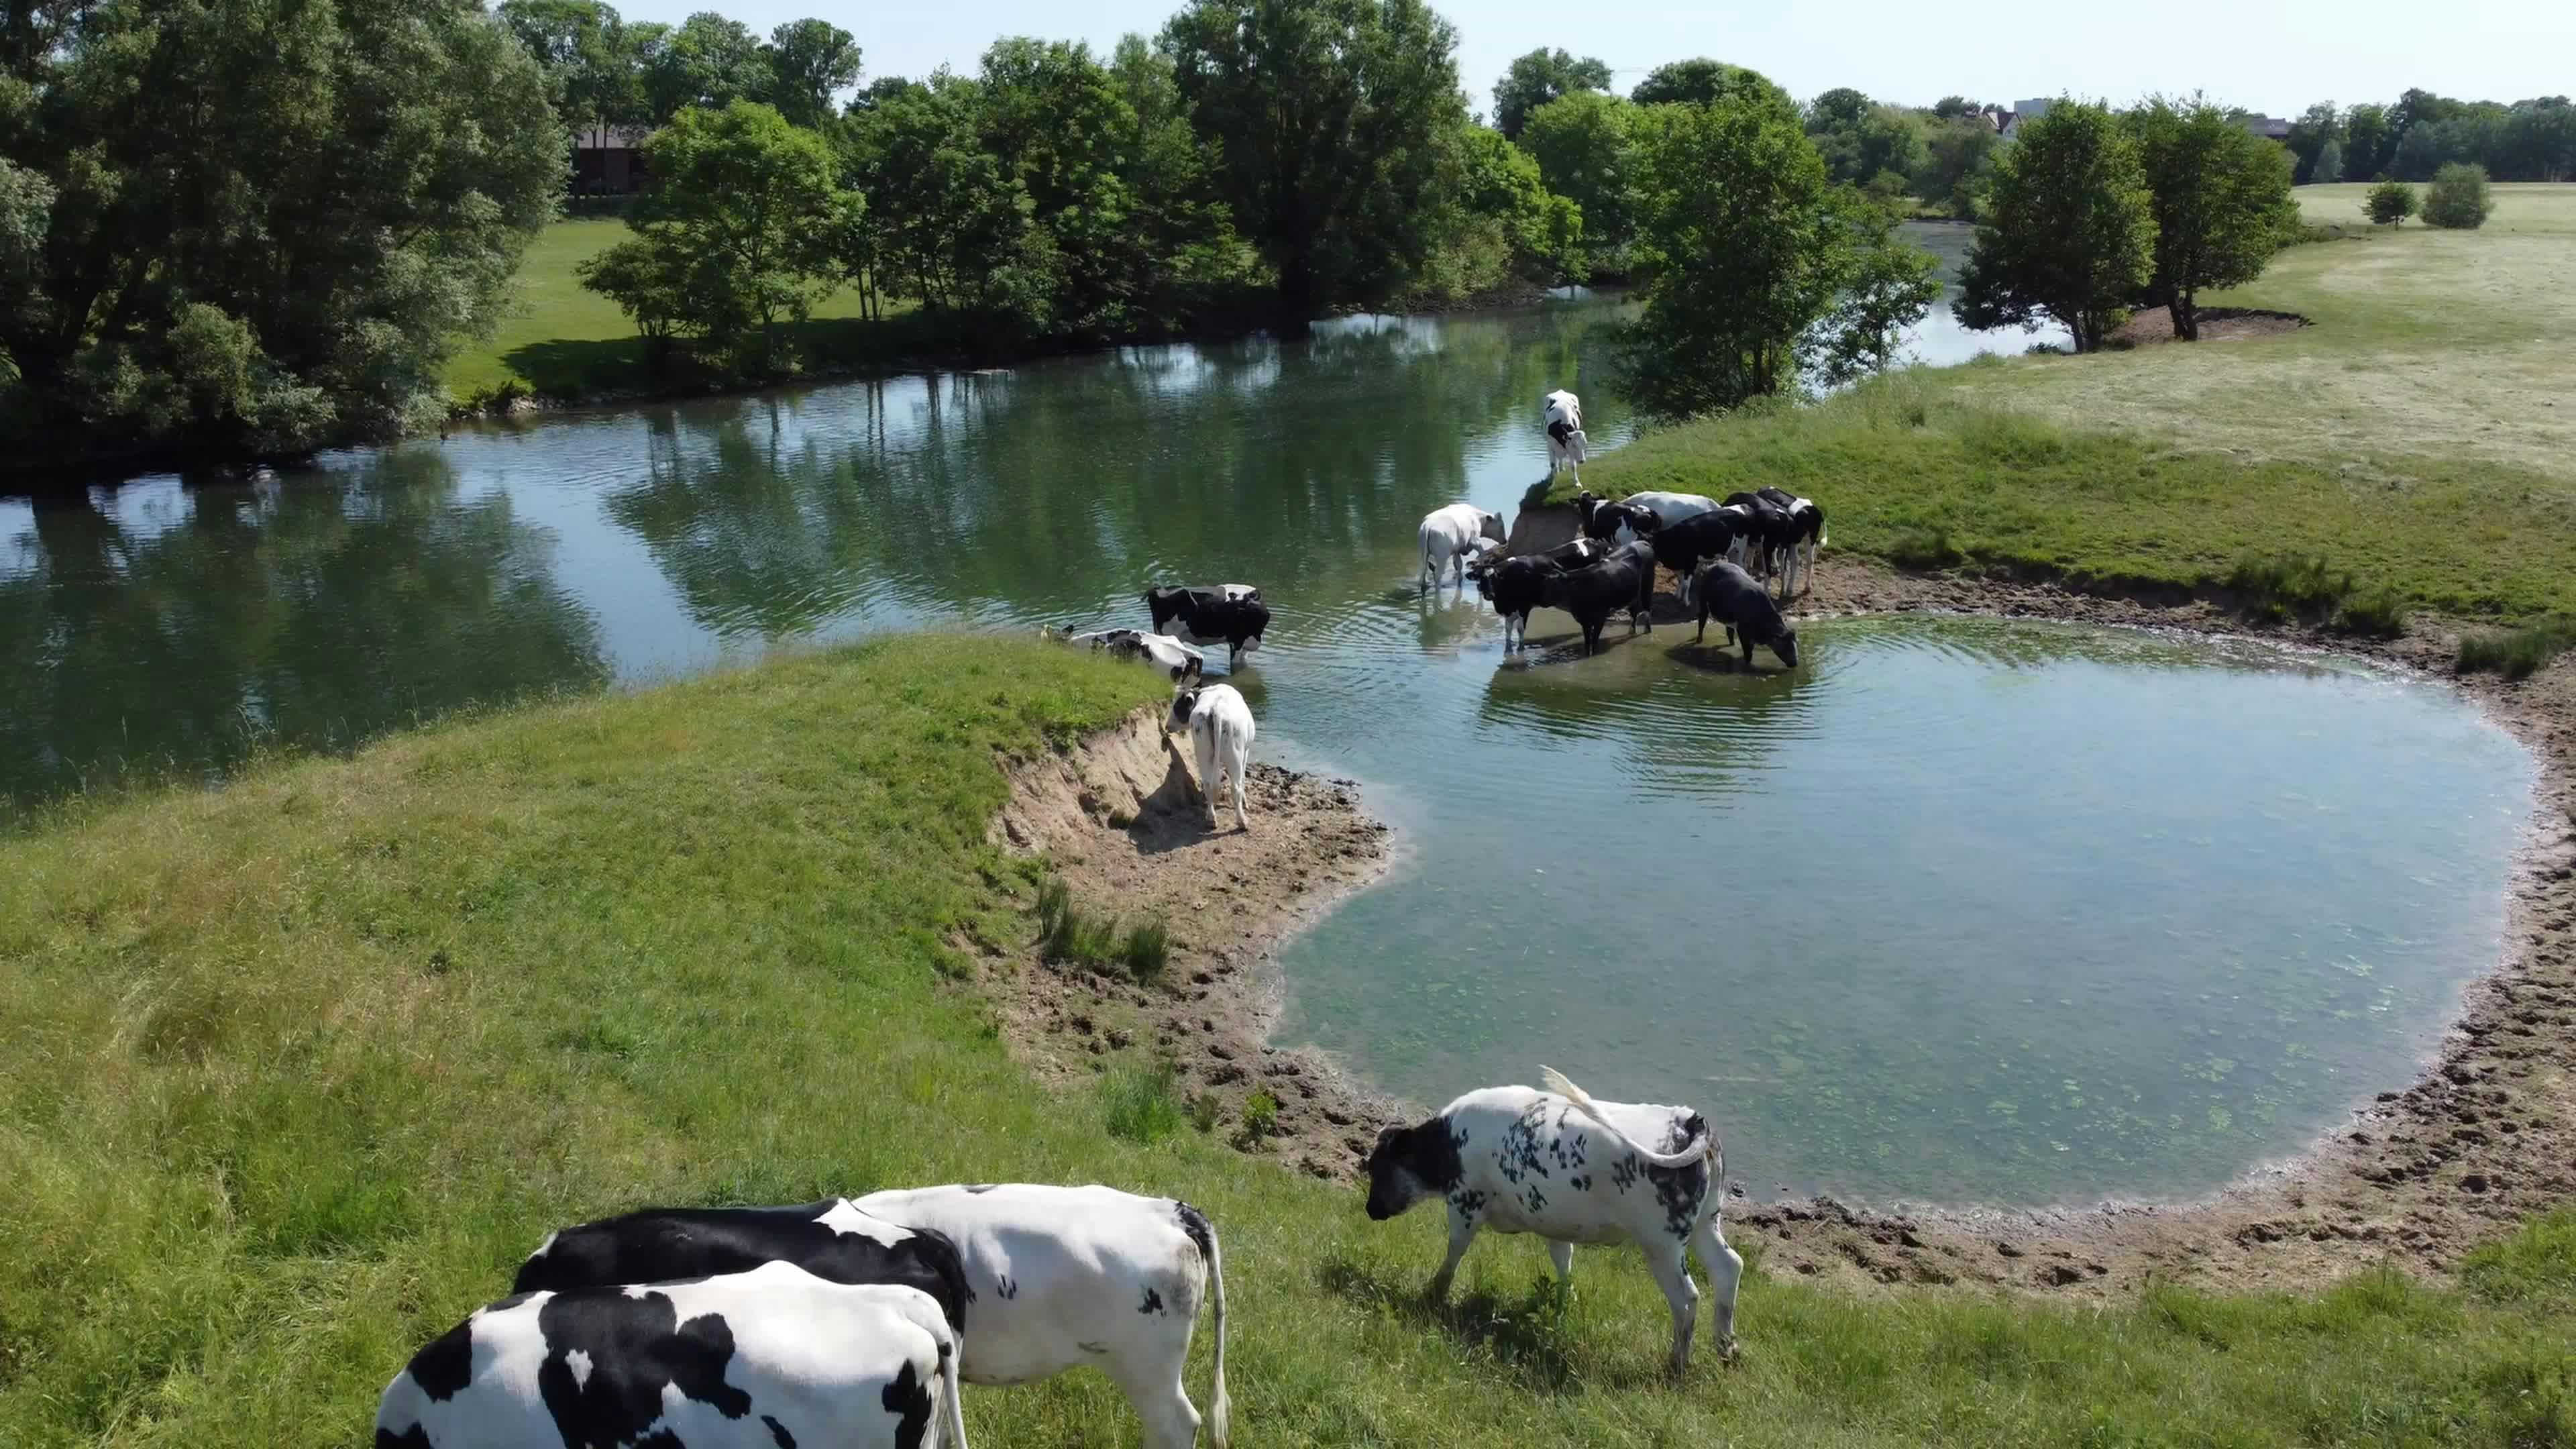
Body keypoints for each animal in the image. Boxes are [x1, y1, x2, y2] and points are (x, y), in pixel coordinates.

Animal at [1167, 682, 1255, 831]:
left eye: (1177, 707)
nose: (1167, 726)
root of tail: (1216, 709)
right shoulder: (1246, 752)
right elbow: (1243, 778)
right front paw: (1246, 802)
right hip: (1235, 755)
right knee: (1235, 787)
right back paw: (1242, 821)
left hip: (1203, 751)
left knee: (1208, 785)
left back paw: (1211, 818)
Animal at [1361, 1067, 1739, 1375]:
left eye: (1377, 1166)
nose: (1369, 1209)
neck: (1450, 1142)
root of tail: (1689, 1120)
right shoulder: (1555, 1222)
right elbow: (1563, 1265)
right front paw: (1562, 1308)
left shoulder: (1465, 1202)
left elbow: (1454, 1252)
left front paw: (1434, 1293)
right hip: (1706, 1222)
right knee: (1729, 1267)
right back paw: (1727, 1348)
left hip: (1661, 1242)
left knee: (1687, 1298)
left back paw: (1677, 1365)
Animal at [1418, 503, 1509, 589]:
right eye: (1501, 526)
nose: (1505, 541)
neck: (1478, 518)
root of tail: (1428, 525)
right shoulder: (1475, 541)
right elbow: (1482, 554)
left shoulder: (1456, 550)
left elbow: (1459, 564)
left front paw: (1460, 578)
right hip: (1442, 556)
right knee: (1437, 575)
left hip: (1424, 553)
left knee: (1423, 571)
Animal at [1542, 389, 1587, 483]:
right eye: (1574, 445)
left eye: (1585, 444)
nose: (1582, 461)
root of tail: (1561, 391)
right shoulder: (1550, 445)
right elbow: (1552, 464)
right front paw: (1552, 480)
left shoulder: (1569, 449)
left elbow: (1573, 466)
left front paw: (1577, 482)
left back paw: (1561, 468)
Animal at [1689, 559, 1800, 668]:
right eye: (1786, 647)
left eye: (1795, 645)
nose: (1795, 664)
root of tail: (1711, 567)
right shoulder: (1743, 630)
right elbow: (1748, 653)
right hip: (1703, 601)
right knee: (1702, 622)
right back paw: (1699, 641)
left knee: (1729, 631)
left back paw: (1732, 645)